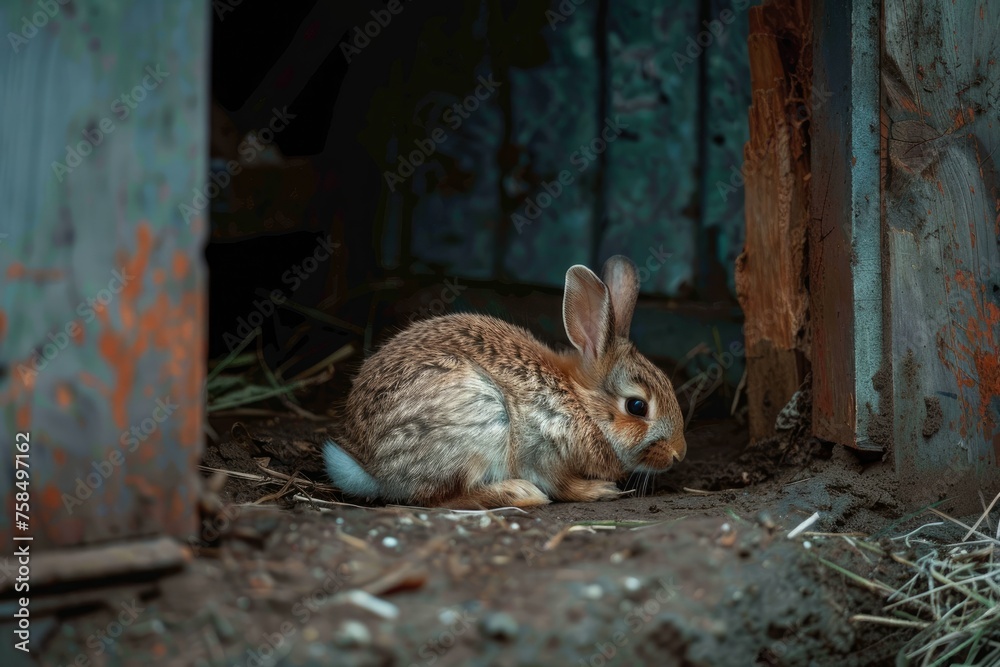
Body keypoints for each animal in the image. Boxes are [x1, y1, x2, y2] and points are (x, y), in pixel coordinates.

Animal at [324, 255, 687, 509]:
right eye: (637, 406)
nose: (679, 454)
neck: (580, 403)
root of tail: (372, 470)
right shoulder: (543, 447)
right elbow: (560, 484)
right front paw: (599, 490)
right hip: (480, 421)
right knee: (438, 499)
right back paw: (519, 494)